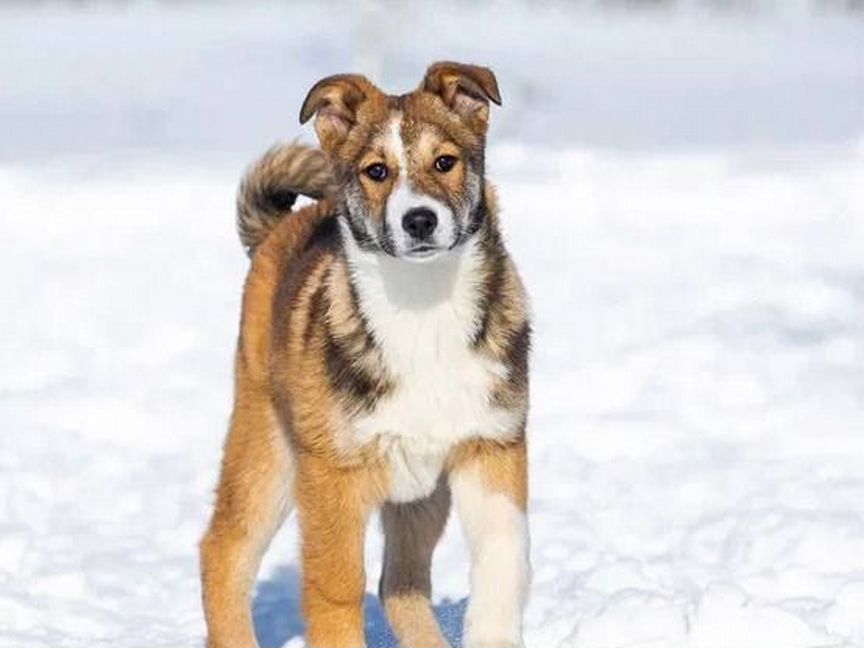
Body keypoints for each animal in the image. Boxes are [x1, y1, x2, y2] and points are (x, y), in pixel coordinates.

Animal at [201, 60, 532, 648]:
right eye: (376, 171)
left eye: (445, 162)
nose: (419, 220)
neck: (423, 310)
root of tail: (276, 230)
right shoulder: (332, 474)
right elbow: (334, 591)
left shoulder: (492, 443)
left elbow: (503, 559)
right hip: (268, 443)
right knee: (224, 550)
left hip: (419, 492)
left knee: (401, 582)